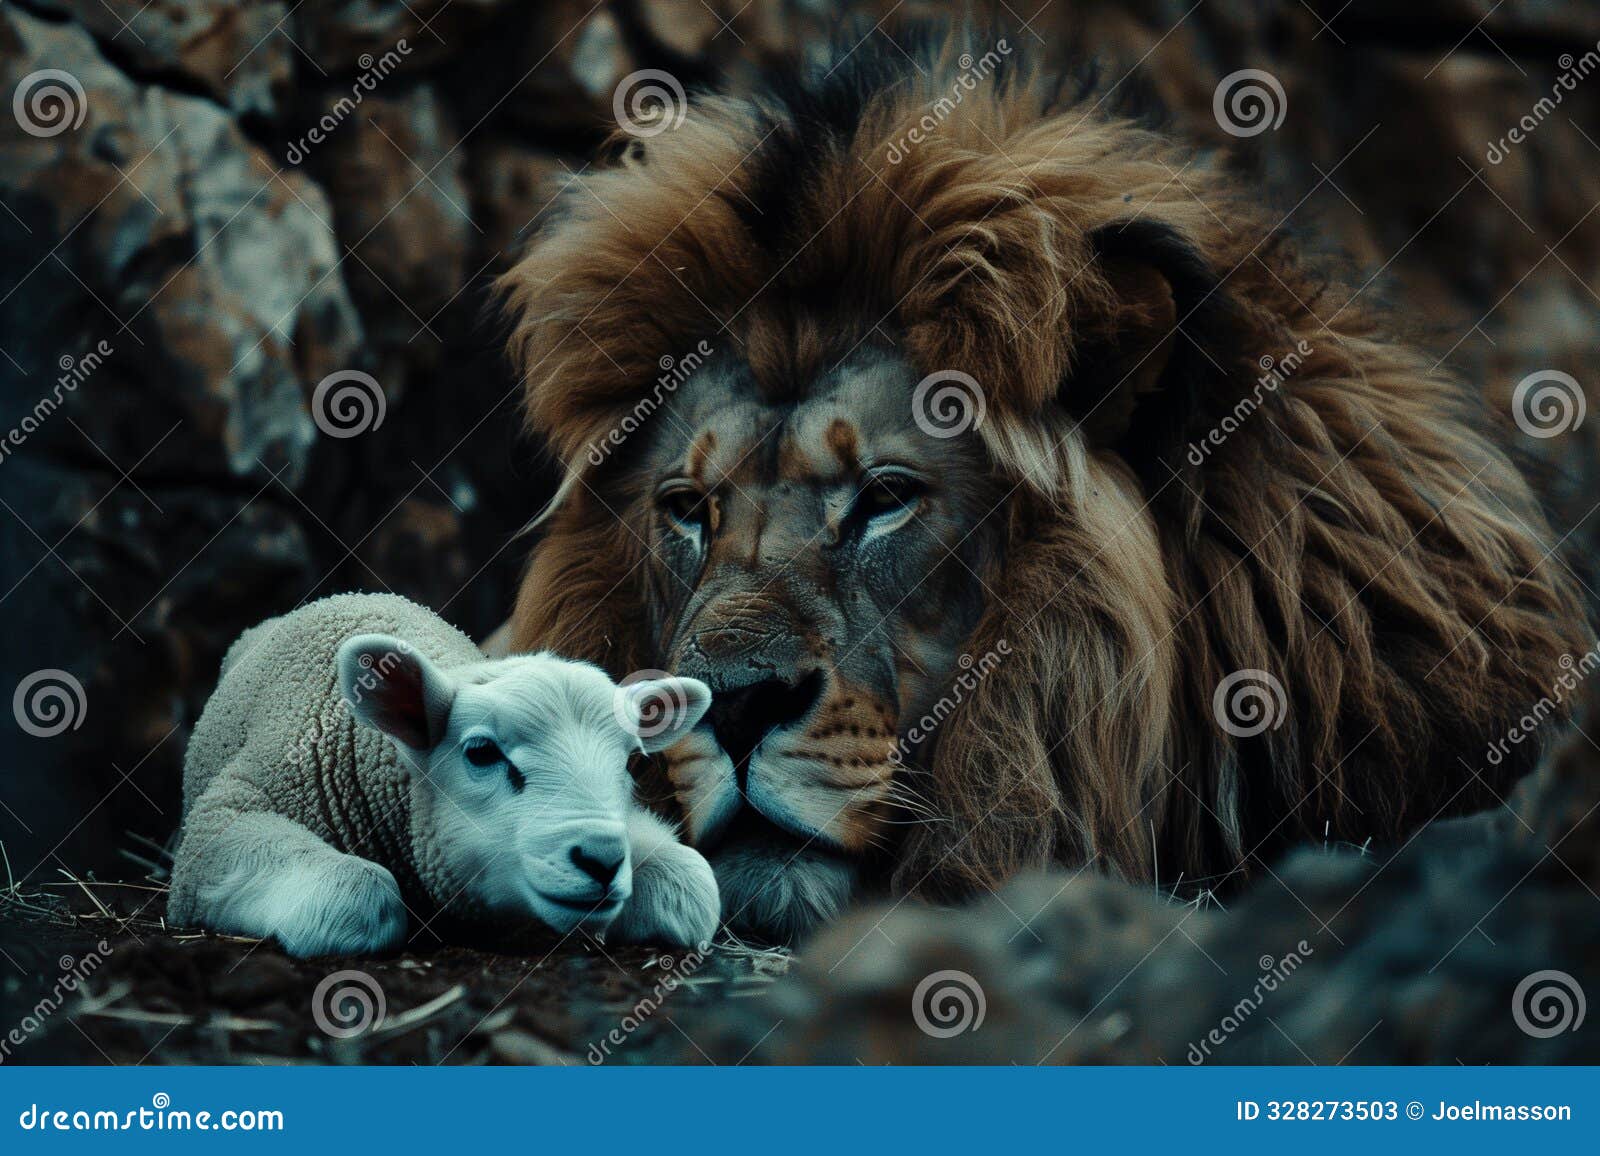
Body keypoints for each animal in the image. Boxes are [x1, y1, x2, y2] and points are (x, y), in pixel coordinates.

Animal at [168, 592, 721, 959]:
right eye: (481, 752)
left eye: (628, 762)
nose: (602, 860)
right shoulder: (220, 824)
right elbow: (361, 895)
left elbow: (692, 885)